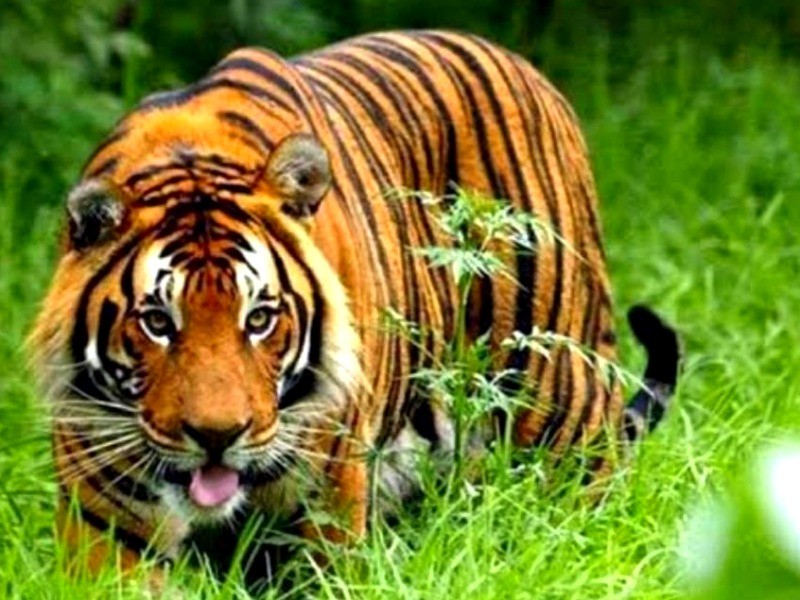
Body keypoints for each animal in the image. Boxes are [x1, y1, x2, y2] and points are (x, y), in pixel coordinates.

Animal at [29, 30, 679, 581]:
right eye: (158, 323)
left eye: (259, 319)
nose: (217, 437)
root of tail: (528, 69)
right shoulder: (107, 526)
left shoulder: (327, 502)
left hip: (559, 405)